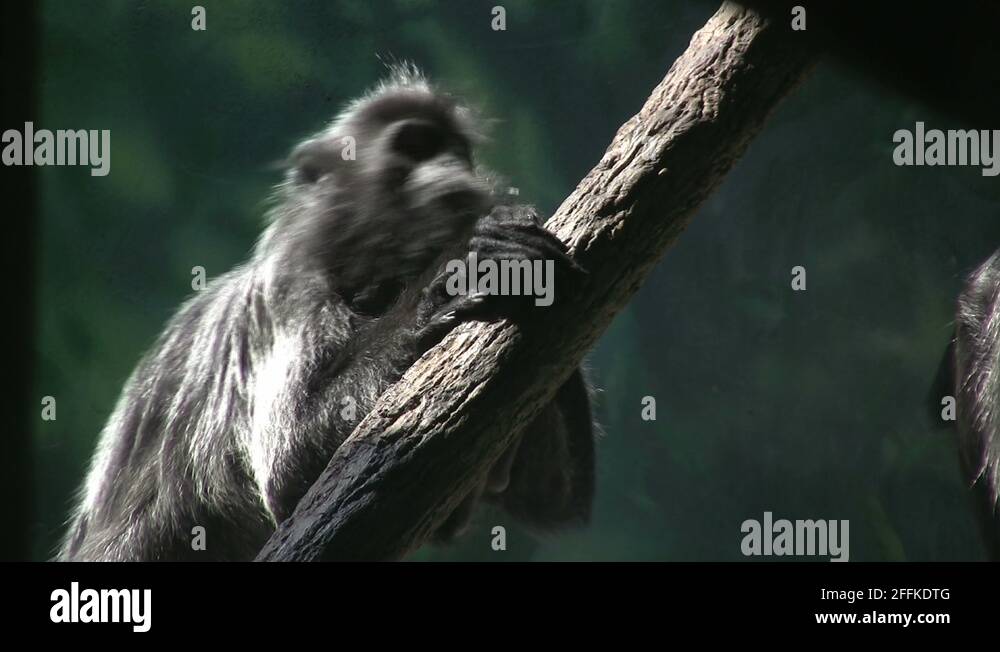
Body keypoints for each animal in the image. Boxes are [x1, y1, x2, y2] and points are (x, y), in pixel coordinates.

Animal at [59, 68, 595, 561]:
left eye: (454, 153)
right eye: (414, 146)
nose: (453, 172)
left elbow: (551, 496)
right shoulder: (290, 288)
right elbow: (289, 465)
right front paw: (449, 281)